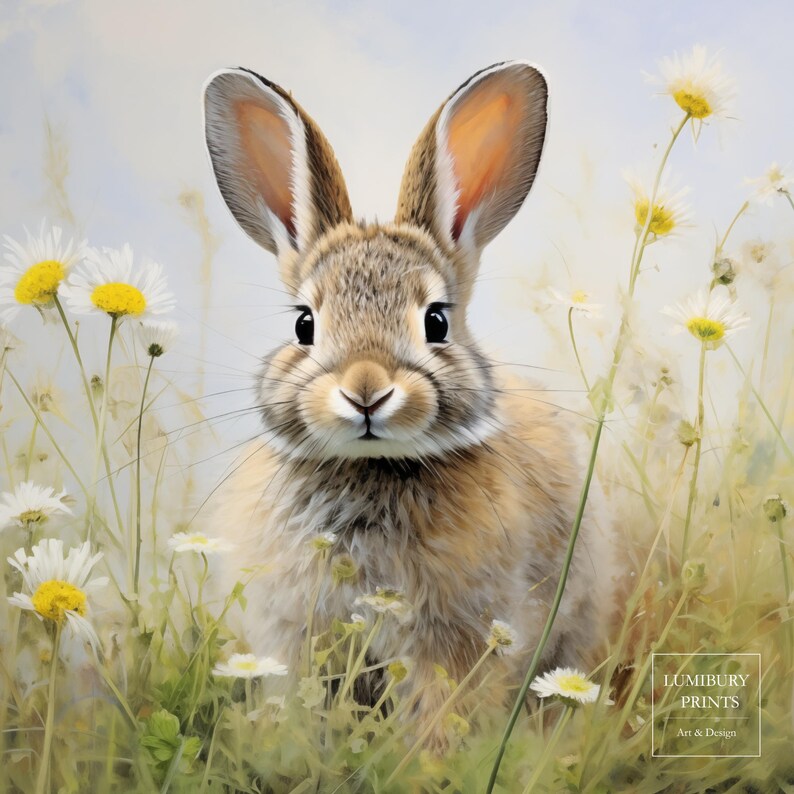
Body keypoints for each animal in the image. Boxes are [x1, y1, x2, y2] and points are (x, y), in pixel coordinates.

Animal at [203, 61, 614, 747]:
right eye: (304, 325)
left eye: (436, 321)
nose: (366, 391)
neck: (372, 473)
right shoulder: (294, 638)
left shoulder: (457, 637)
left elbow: (442, 710)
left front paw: (434, 759)